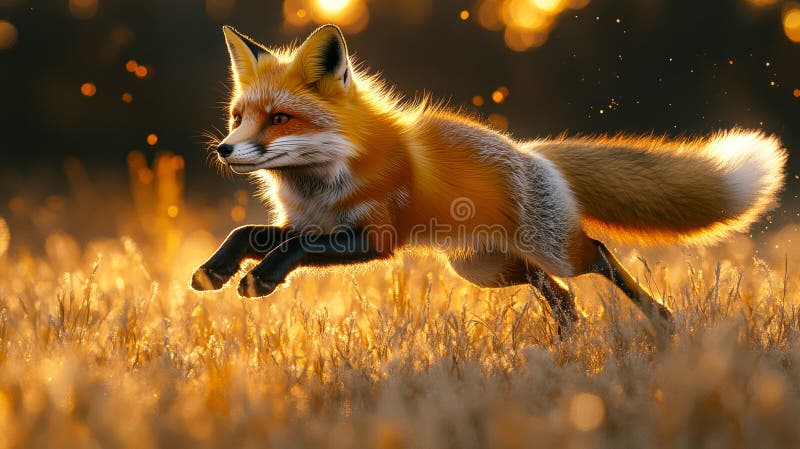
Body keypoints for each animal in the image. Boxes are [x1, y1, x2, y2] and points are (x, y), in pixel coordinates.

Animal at [191, 24, 787, 338]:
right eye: (238, 117)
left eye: (280, 119)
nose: (224, 149)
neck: (320, 181)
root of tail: (531, 150)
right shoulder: (307, 222)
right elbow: (249, 234)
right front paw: (215, 271)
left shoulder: (374, 237)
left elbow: (294, 250)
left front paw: (261, 280)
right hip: (486, 268)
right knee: (561, 294)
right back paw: (569, 342)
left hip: (546, 251)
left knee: (596, 255)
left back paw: (659, 318)